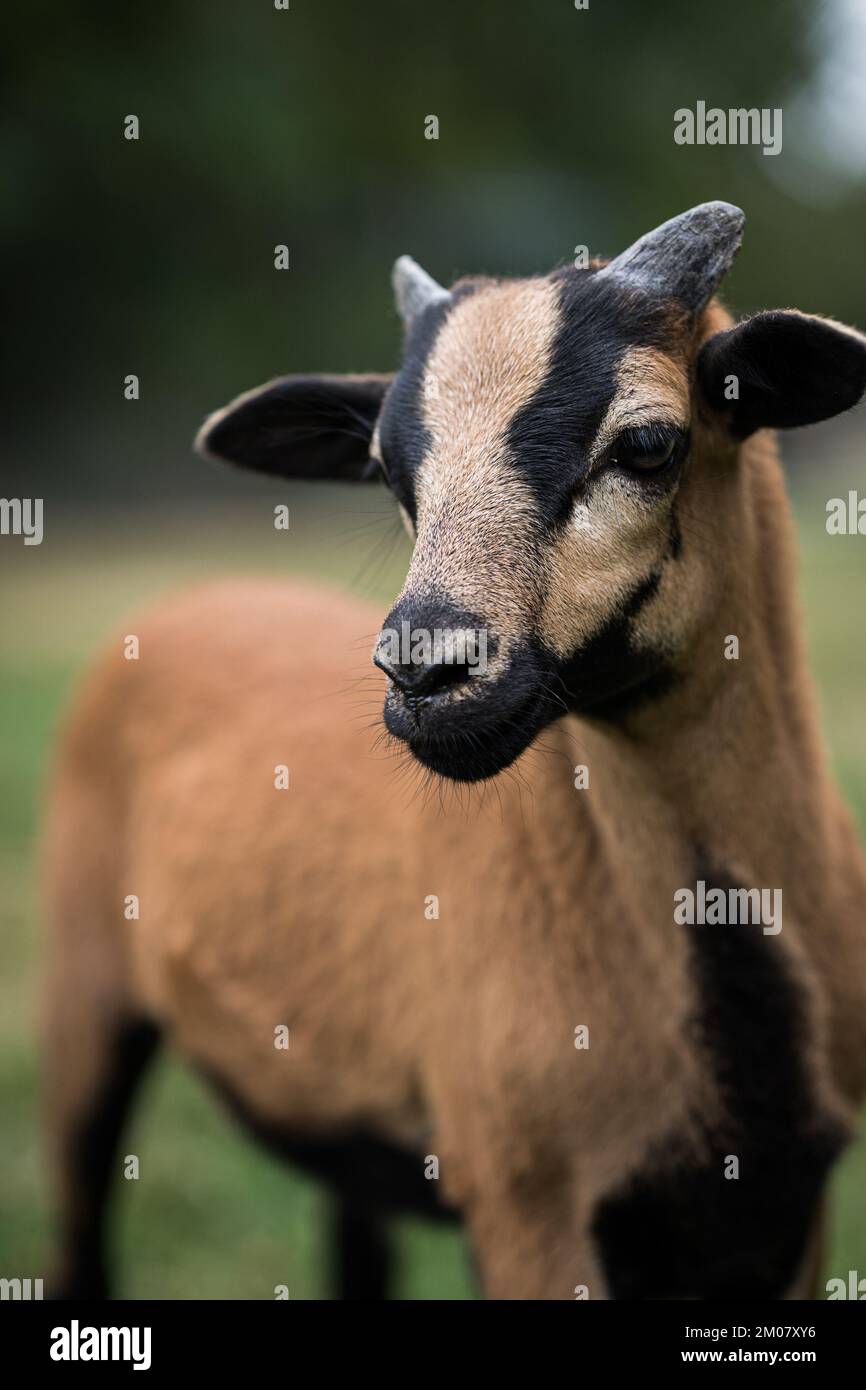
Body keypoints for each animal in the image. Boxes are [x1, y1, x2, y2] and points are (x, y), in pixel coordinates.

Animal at [43, 202, 866, 1300]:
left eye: (649, 443)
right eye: (392, 473)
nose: (425, 675)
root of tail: (197, 593)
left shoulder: (788, 1209)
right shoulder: (527, 1199)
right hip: (80, 1003)